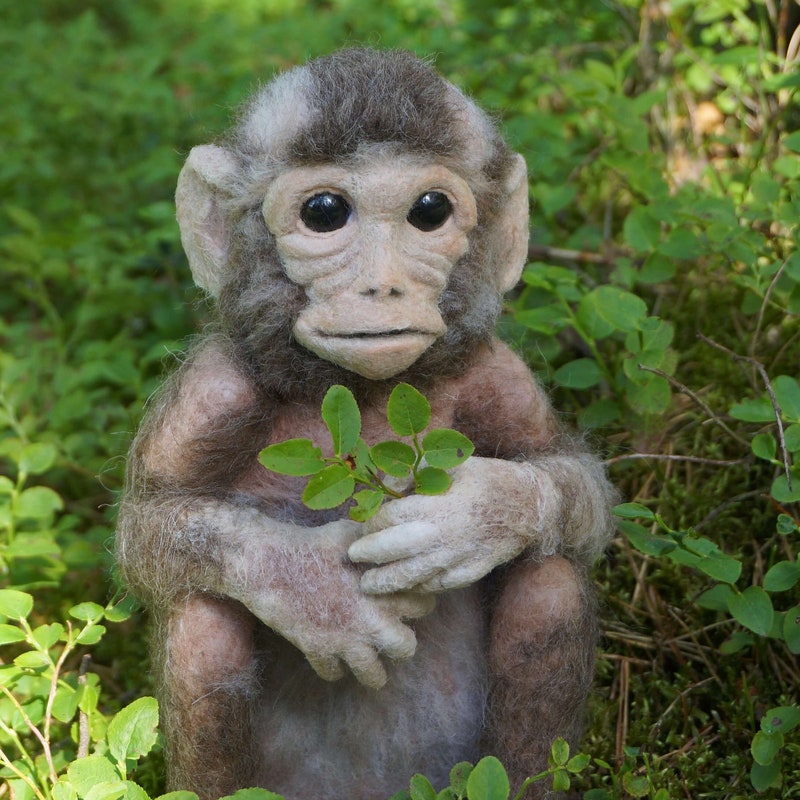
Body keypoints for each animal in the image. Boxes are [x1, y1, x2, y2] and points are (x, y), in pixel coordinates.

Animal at [116, 48, 616, 800]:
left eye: (429, 211)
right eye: (325, 213)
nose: (381, 285)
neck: (356, 390)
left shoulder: (496, 373)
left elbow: (577, 481)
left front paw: (477, 516)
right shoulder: (215, 389)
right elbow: (145, 528)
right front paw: (315, 590)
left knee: (549, 581)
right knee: (203, 621)